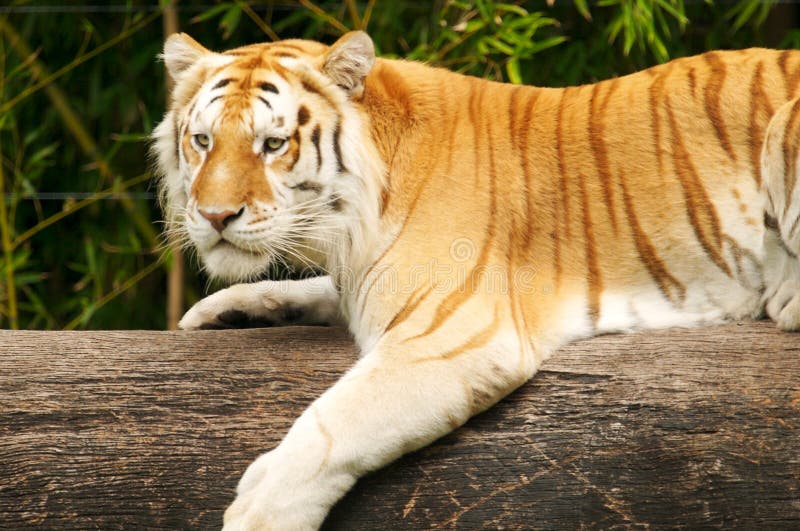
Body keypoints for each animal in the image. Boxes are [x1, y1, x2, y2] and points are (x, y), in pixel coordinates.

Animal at [152, 30, 800, 530]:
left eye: (273, 144)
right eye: (203, 140)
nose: (213, 216)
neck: (351, 226)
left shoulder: (452, 332)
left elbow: (330, 427)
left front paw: (257, 512)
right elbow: (313, 293)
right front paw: (220, 311)